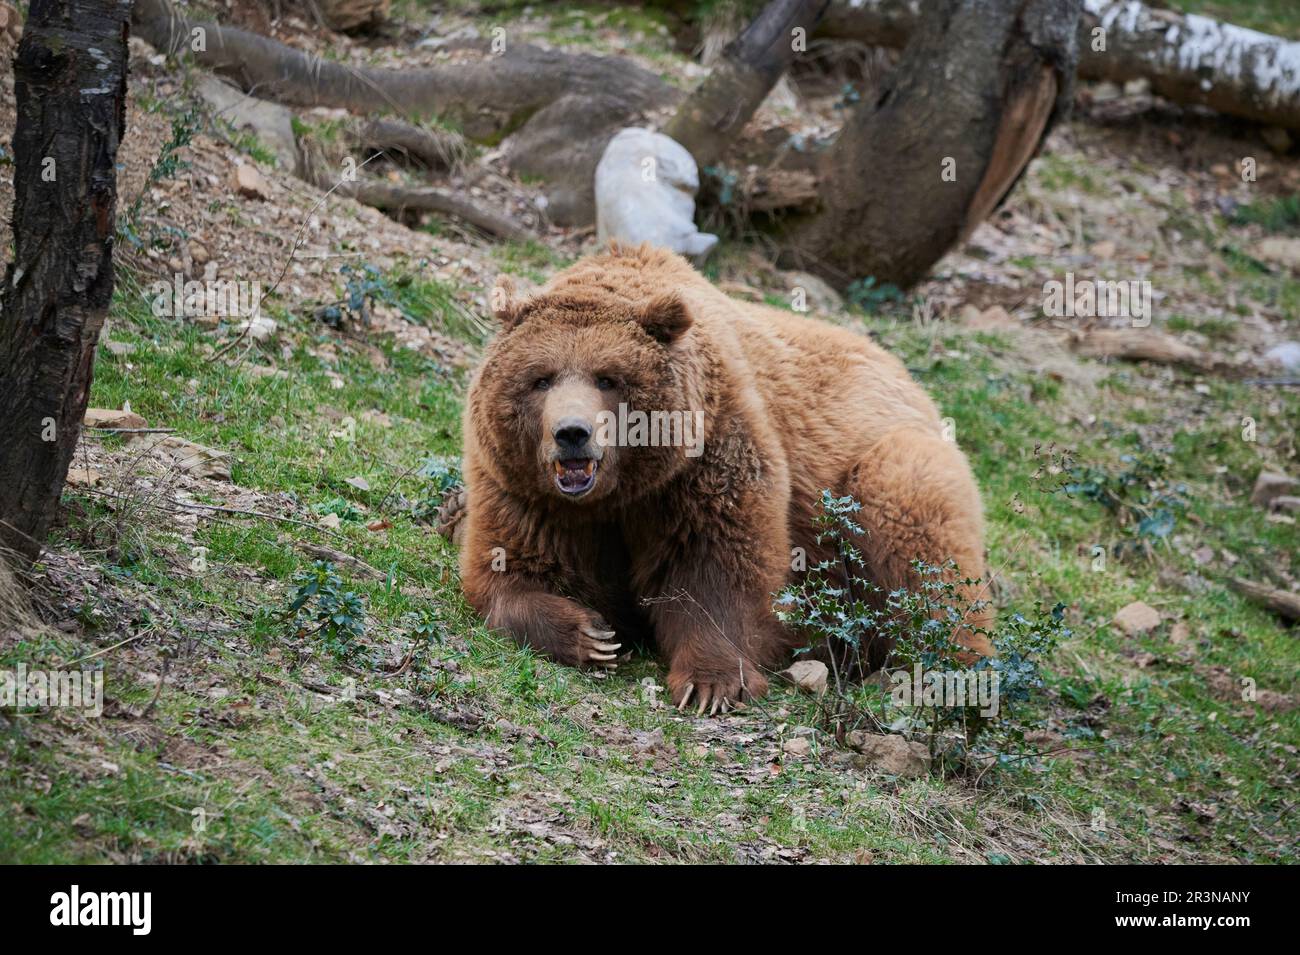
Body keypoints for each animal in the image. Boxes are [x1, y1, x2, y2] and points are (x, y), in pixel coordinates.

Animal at [458, 243, 992, 714]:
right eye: (541, 378)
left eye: (608, 378)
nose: (572, 433)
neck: (622, 492)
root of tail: (910, 379)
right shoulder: (522, 488)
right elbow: (509, 569)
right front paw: (591, 635)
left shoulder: (707, 457)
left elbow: (716, 569)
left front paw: (710, 683)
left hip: (883, 468)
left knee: (919, 546)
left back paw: (944, 672)